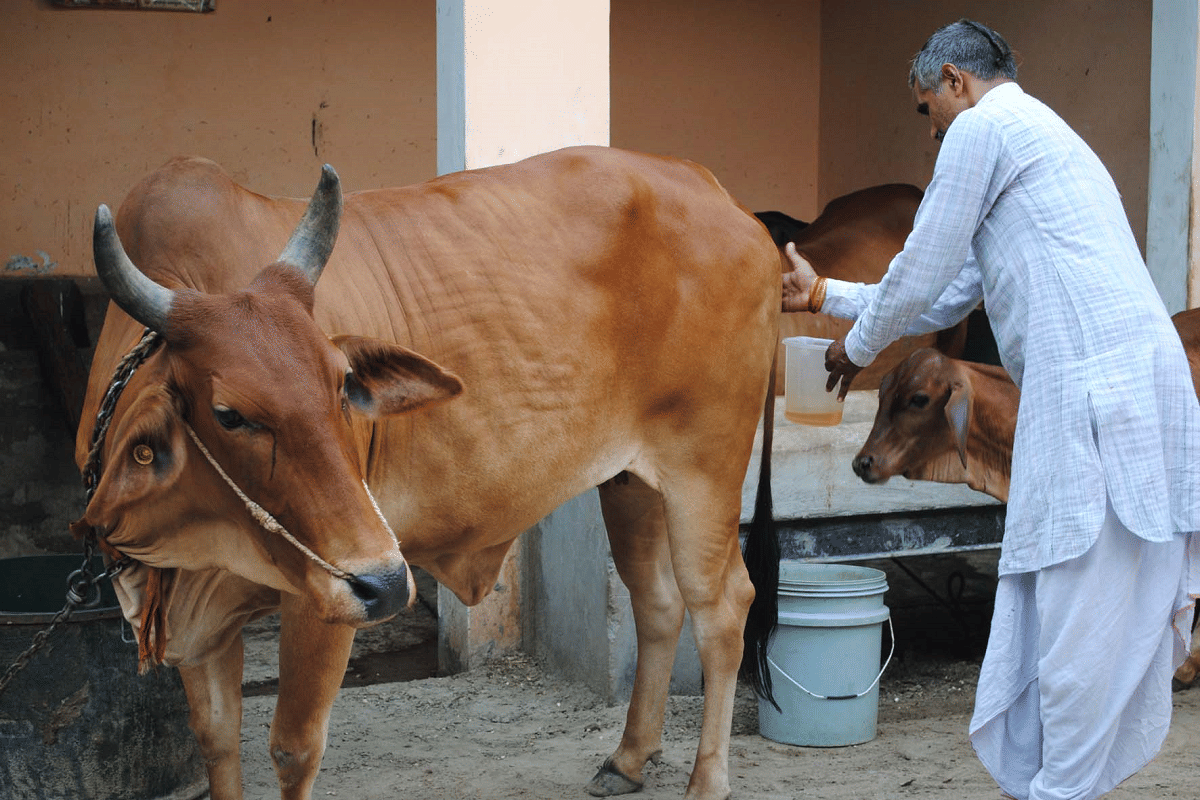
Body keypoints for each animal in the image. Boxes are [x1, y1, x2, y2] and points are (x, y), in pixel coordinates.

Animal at [72, 146, 781, 800]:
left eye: (343, 385)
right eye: (228, 413)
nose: (386, 583)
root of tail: (721, 196)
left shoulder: (322, 599)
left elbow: (292, 749)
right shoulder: (200, 616)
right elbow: (217, 742)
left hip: (706, 466)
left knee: (722, 608)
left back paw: (706, 781)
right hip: (631, 480)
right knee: (656, 601)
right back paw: (629, 759)